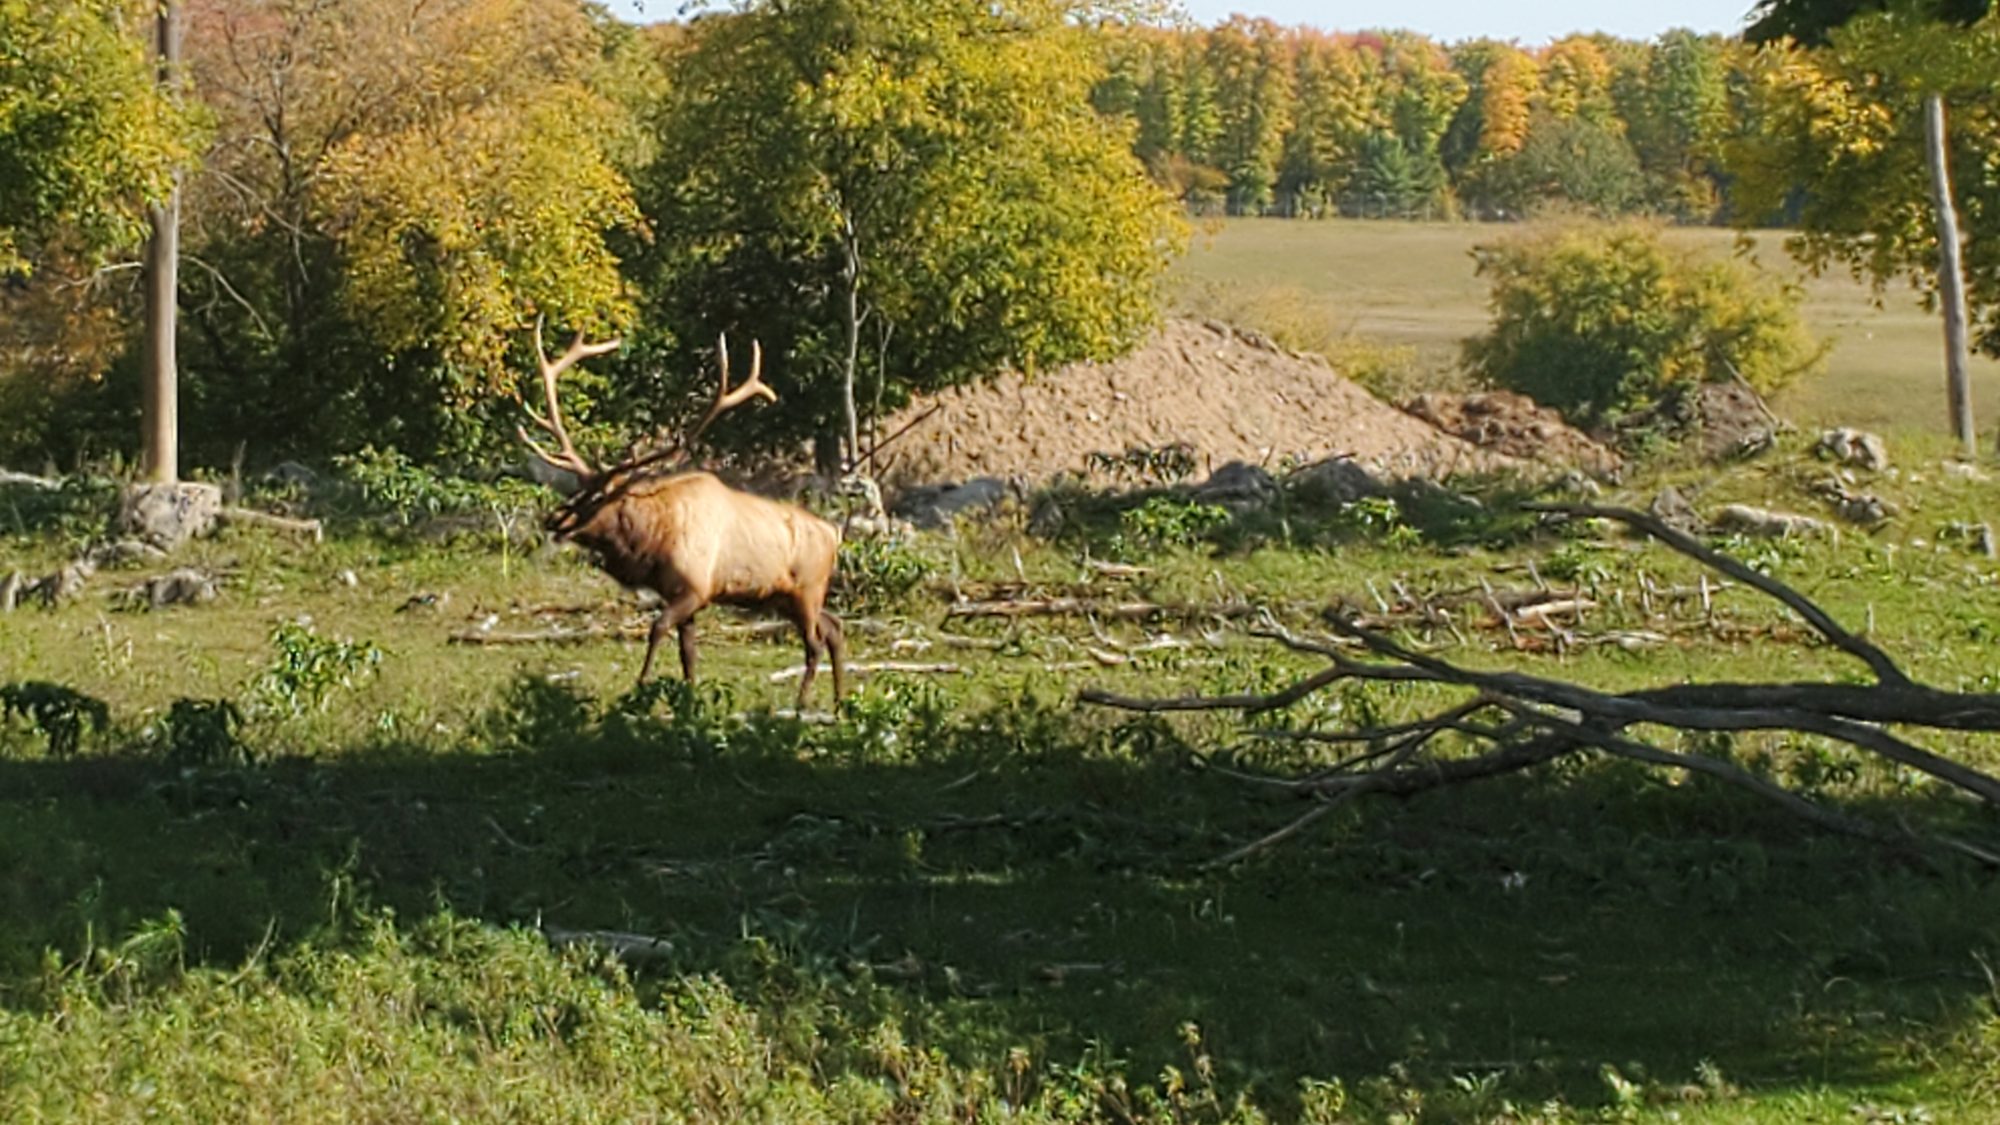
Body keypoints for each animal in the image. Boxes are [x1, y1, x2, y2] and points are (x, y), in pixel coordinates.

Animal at [517, 325, 847, 709]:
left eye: (598, 496)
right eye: (575, 490)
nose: (554, 520)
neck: (652, 541)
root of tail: (834, 534)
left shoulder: (694, 589)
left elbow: (657, 629)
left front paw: (641, 685)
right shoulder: (680, 595)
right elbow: (688, 653)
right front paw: (687, 699)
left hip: (807, 590)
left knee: (814, 644)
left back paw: (801, 704)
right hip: (788, 598)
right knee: (834, 628)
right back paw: (839, 702)